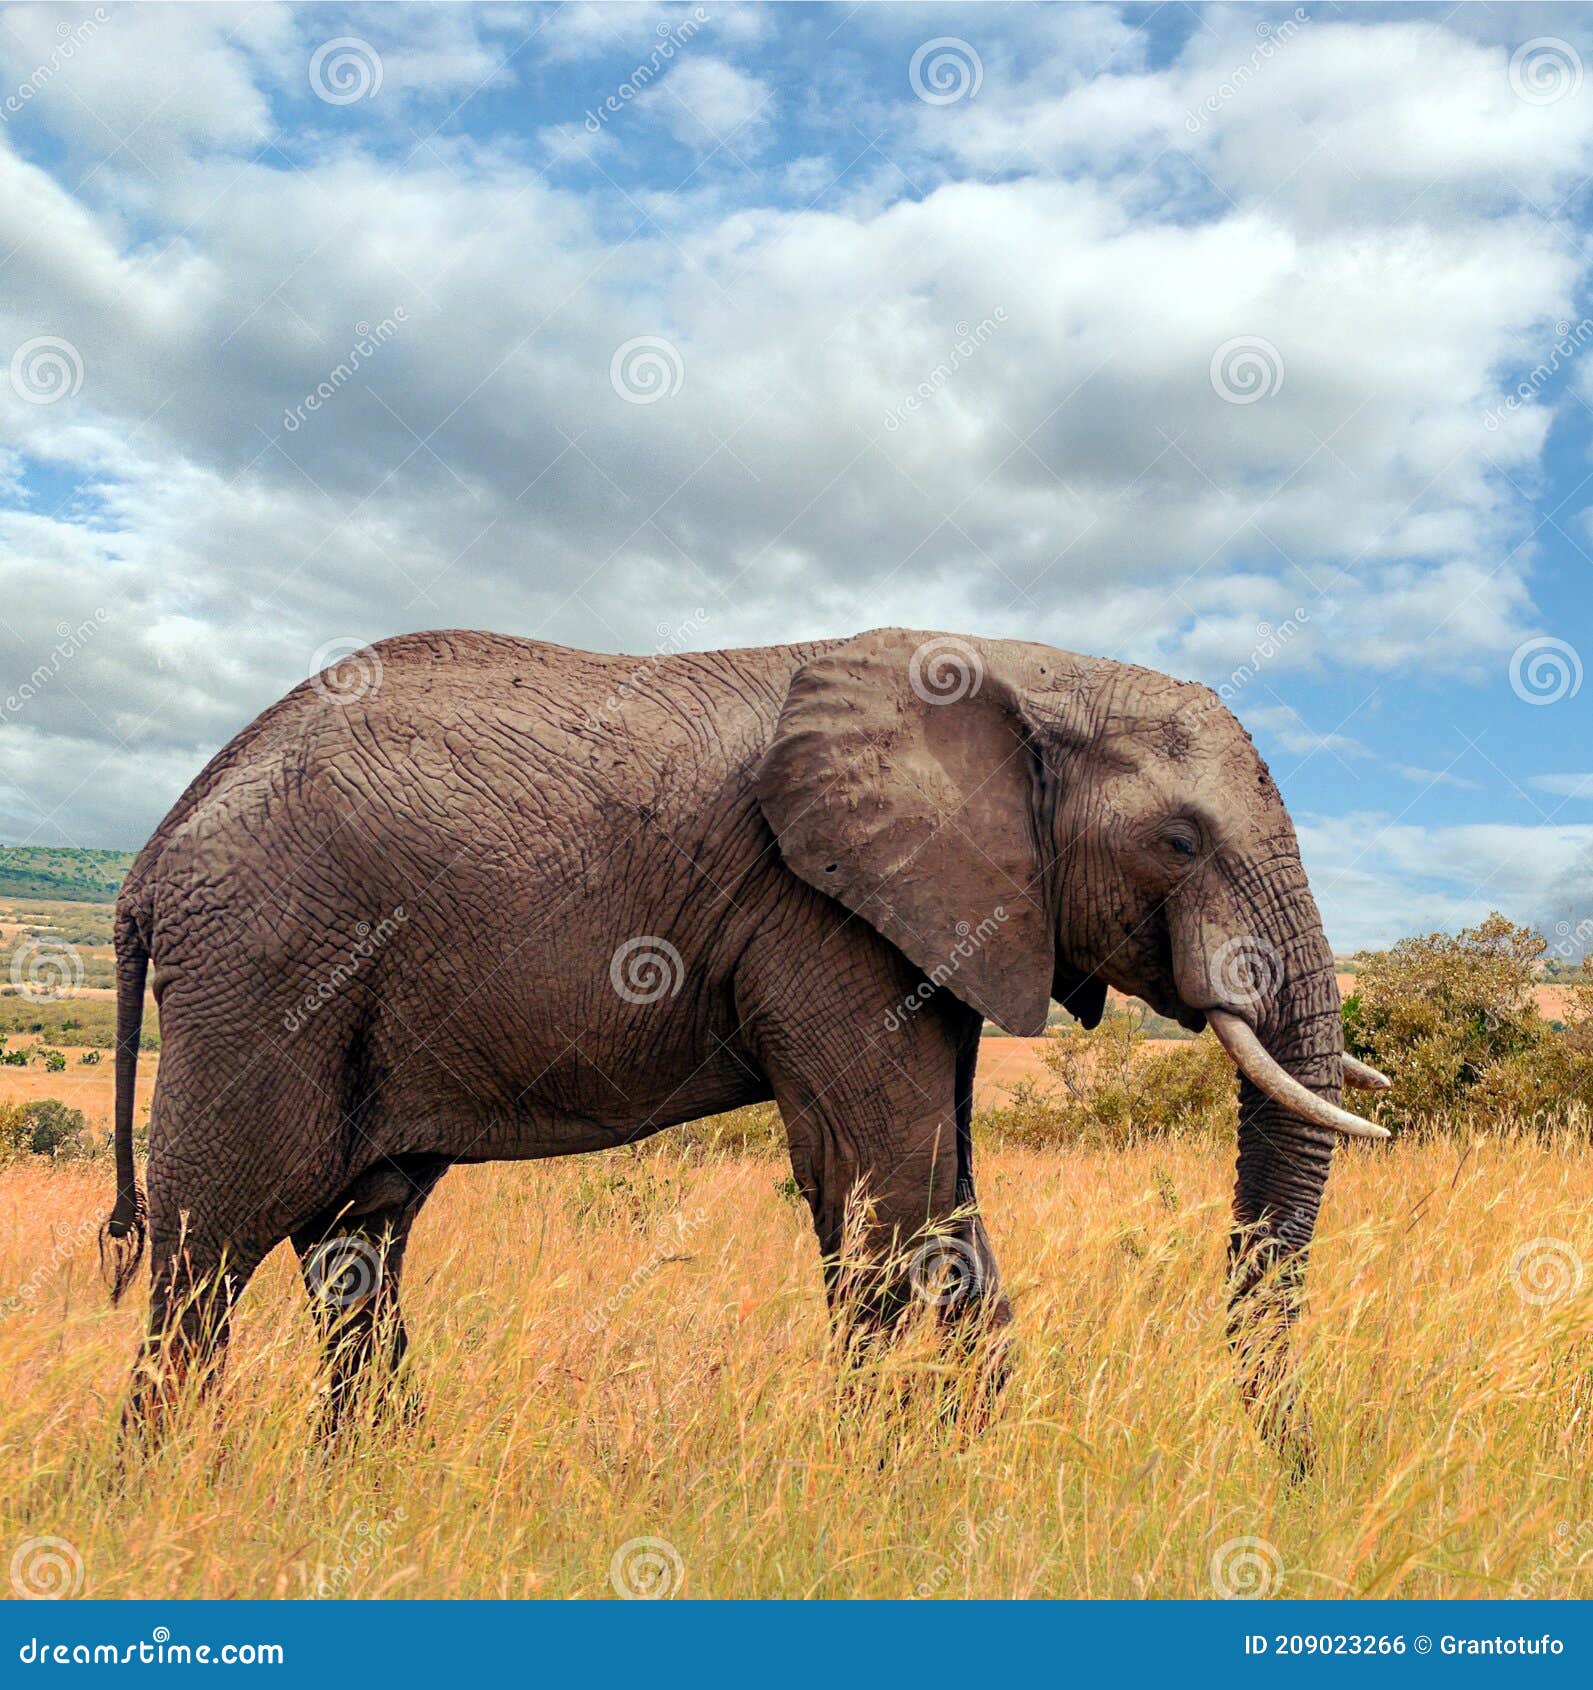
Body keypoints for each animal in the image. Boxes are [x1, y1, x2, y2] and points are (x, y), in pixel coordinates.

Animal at [99, 626, 1391, 1447]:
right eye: (1179, 841)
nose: (1292, 1466)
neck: (1029, 669)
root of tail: (152, 855)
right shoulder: (820, 914)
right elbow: (899, 1183)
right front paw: (908, 1480)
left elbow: (923, 1181)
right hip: (260, 976)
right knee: (207, 1255)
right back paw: (175, 1489)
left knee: (357, 1245)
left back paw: (369, 1484)